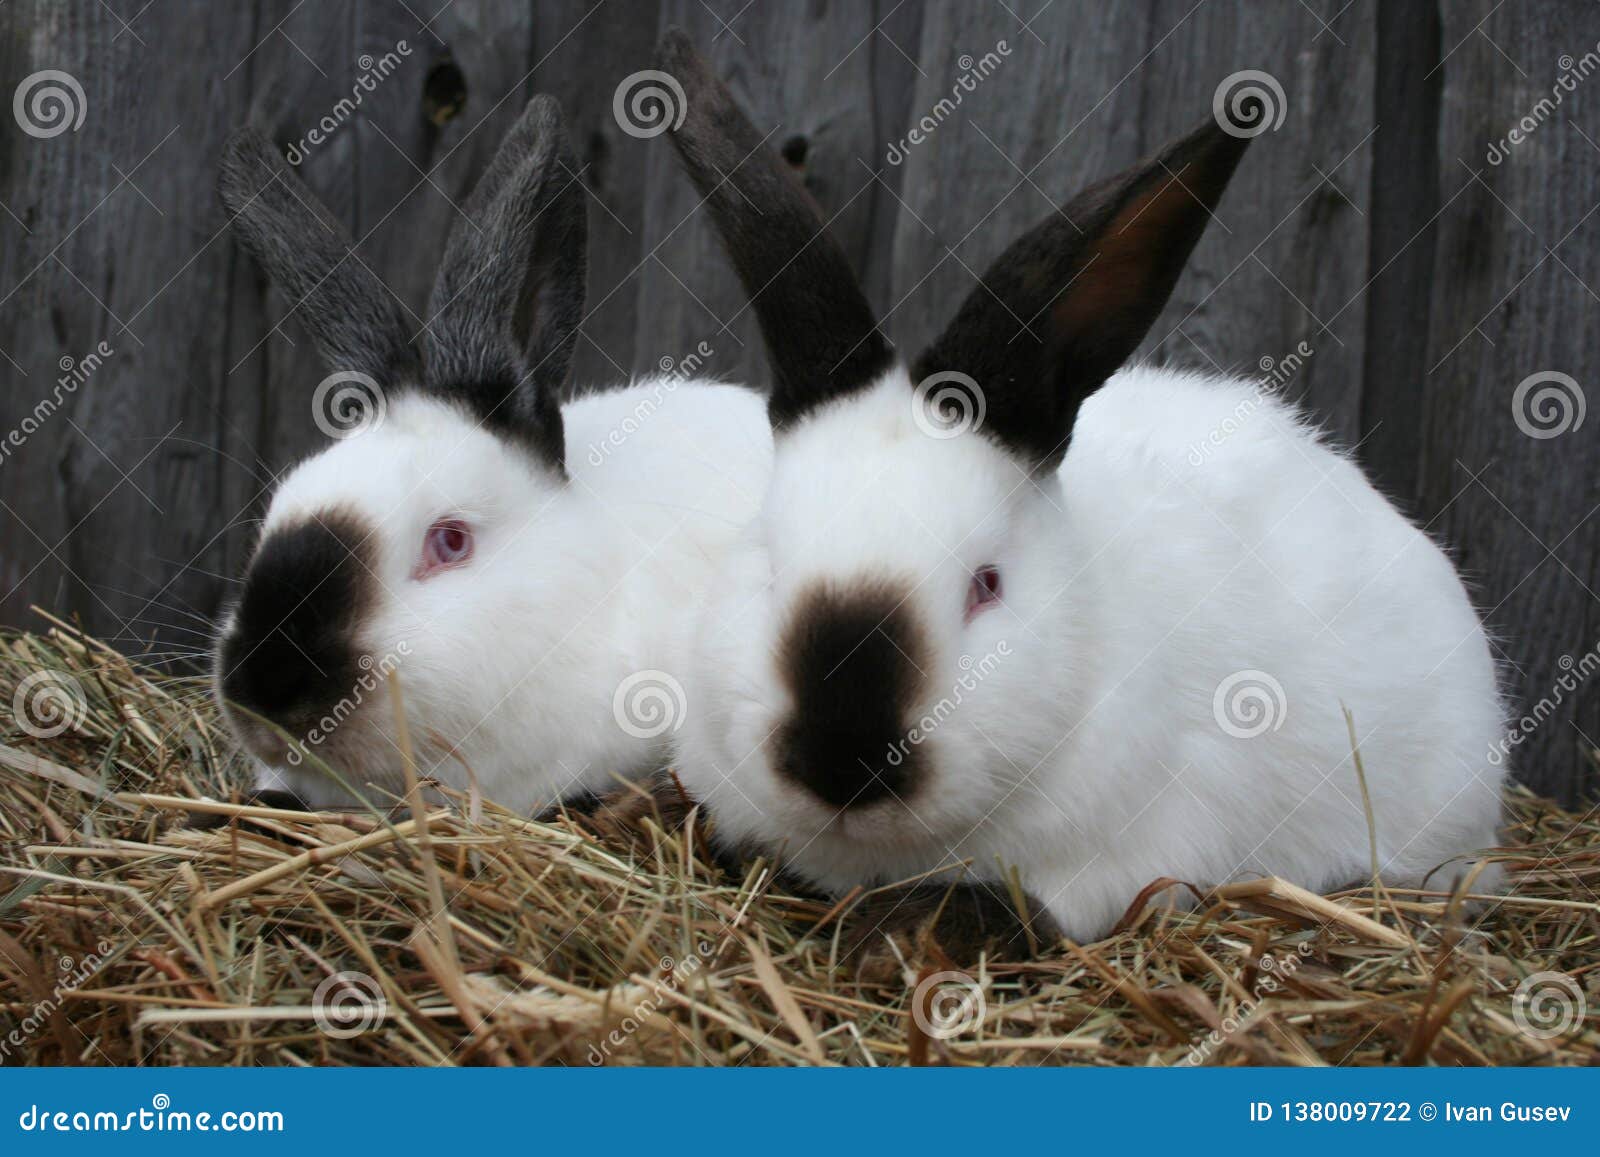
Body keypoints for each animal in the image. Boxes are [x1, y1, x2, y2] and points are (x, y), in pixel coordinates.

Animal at [652, 30, 1507, 953]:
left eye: (987, 586)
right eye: (769, 567)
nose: (843, 758)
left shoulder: (1126, 859)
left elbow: (1021, 908)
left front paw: (892, 939)